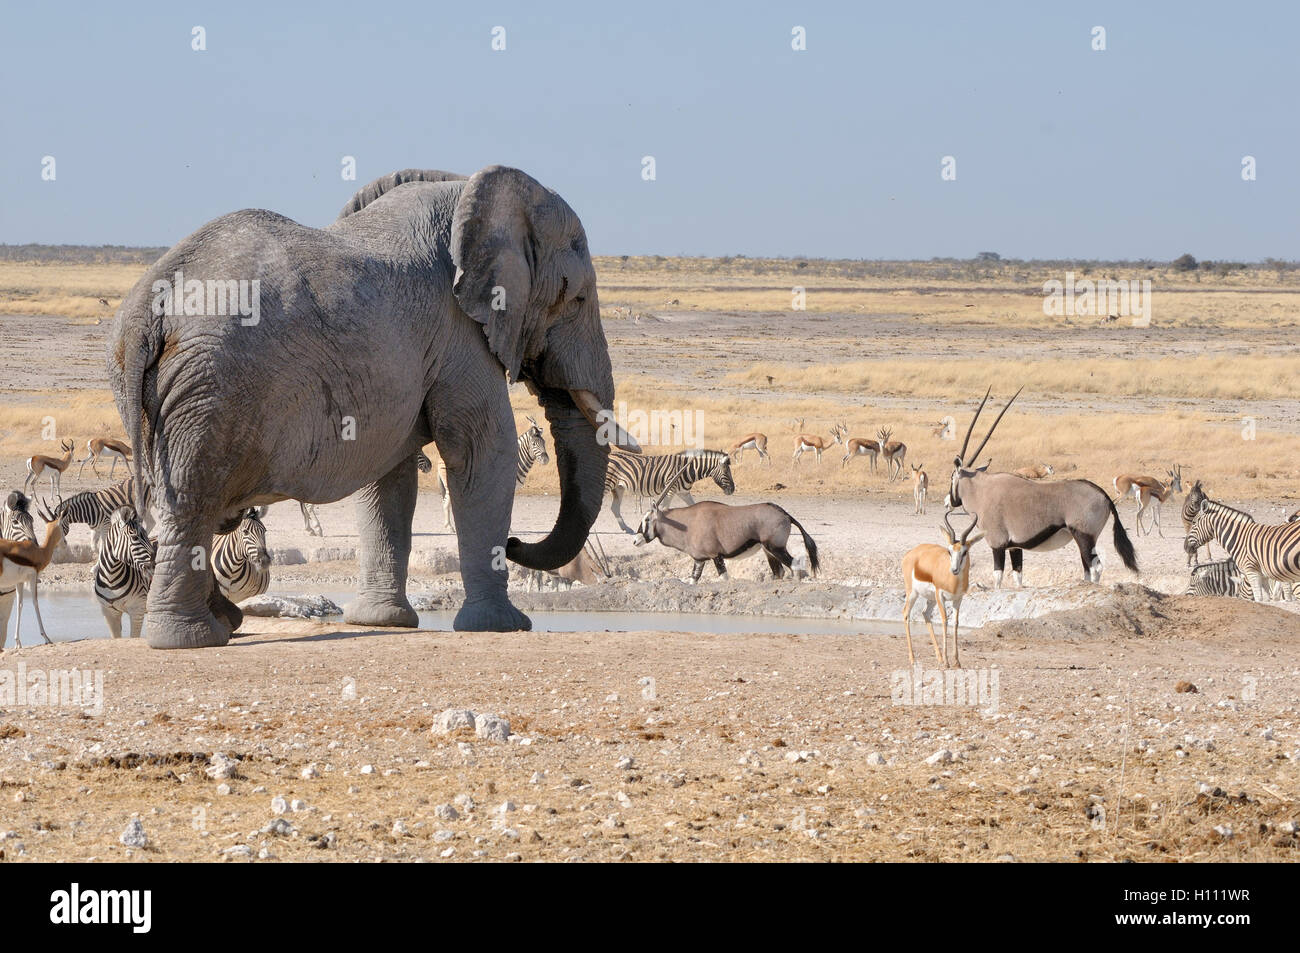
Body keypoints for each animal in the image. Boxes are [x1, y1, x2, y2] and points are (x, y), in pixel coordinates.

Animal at [94, 505, 155, 639]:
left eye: (147, 536)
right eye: (135, 537)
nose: (154, 566)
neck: (111, 578)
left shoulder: (137, 609)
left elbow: (134, 637)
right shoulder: (109, 612)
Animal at [107, 165, 638, 648]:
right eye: (575, 298)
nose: (515, 544)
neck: (467, 193)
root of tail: (144, 312)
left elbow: (387, 474)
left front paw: (383, 622)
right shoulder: (459, 333)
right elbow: (481, 452)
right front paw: (501, 627)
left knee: (187, 503)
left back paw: (222, 625)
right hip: (211, 388)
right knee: (195, 499)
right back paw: (189, 639)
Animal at [605, 448, 736, 534]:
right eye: (726, 471)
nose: (733, 489)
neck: (687, 469)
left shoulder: (683, 492)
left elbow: (693, 506)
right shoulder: (670, 489)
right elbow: (664, 509)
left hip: (619, 487)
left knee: (614, 508)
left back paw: (625, 528)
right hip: (608, 483)